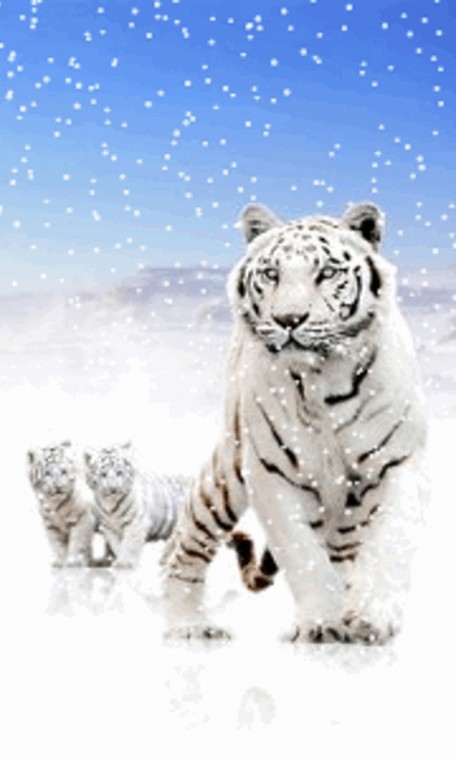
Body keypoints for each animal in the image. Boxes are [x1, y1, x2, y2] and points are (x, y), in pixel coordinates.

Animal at [163, 201, 428, 644]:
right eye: (272, 274)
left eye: (328, 273)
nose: (289, 319)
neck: (326, 381)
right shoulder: (270, 473)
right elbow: (302, 554)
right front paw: (320, 624)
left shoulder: (399, 463)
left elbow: (389, 544)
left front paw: (368, 619)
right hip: (226, 473)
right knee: (184, 541)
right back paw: (189, 624)